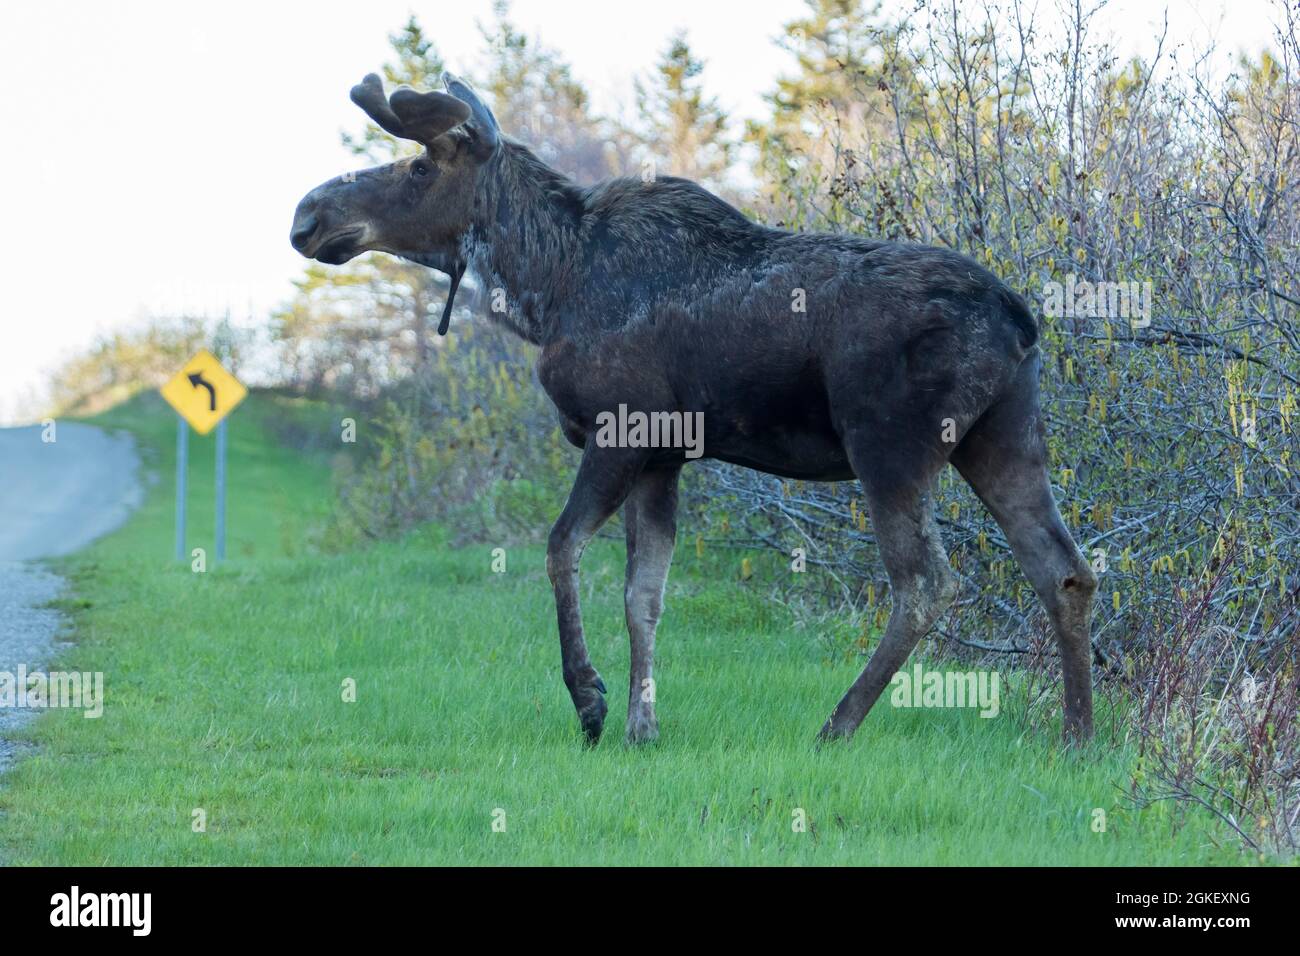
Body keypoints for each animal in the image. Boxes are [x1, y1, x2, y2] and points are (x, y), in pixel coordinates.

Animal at [290, 73, 1098, 747]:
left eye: (421, 169)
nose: (307, 214)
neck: (547, 286)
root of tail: (1021, 318)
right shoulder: (663, 458)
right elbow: (643, 594)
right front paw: (643, 726)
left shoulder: (620, 431)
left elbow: (561, 548)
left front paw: (591, 702)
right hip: (1002, 437)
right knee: (1063, 570)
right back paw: (1077, 737)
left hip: (890, 447)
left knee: (926, 584)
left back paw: (837, 725)